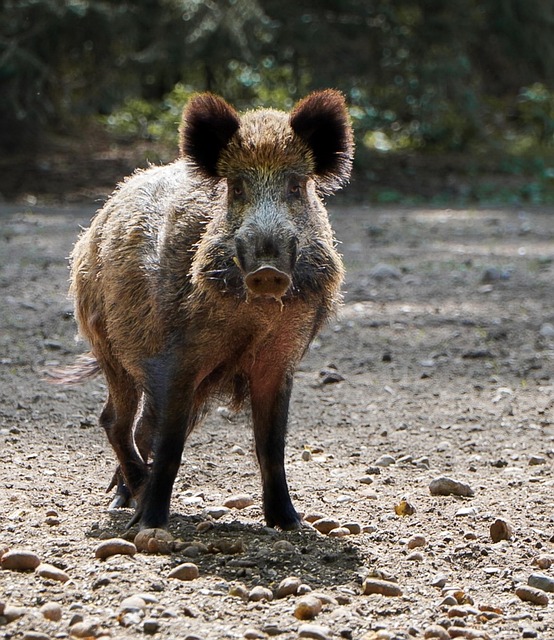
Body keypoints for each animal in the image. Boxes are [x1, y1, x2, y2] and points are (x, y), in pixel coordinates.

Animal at [62, 90, 354, 532]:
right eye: (235, 188)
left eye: (295, 186)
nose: (267, 270)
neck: (255, 320)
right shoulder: (177, 356)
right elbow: (170, 444)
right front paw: (151, 525)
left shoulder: (280, 358)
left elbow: (271, 445)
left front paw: (291, 524)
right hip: (107, 346)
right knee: (115, 421)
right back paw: (129, 502)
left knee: (138, 427)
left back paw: (127, 496)